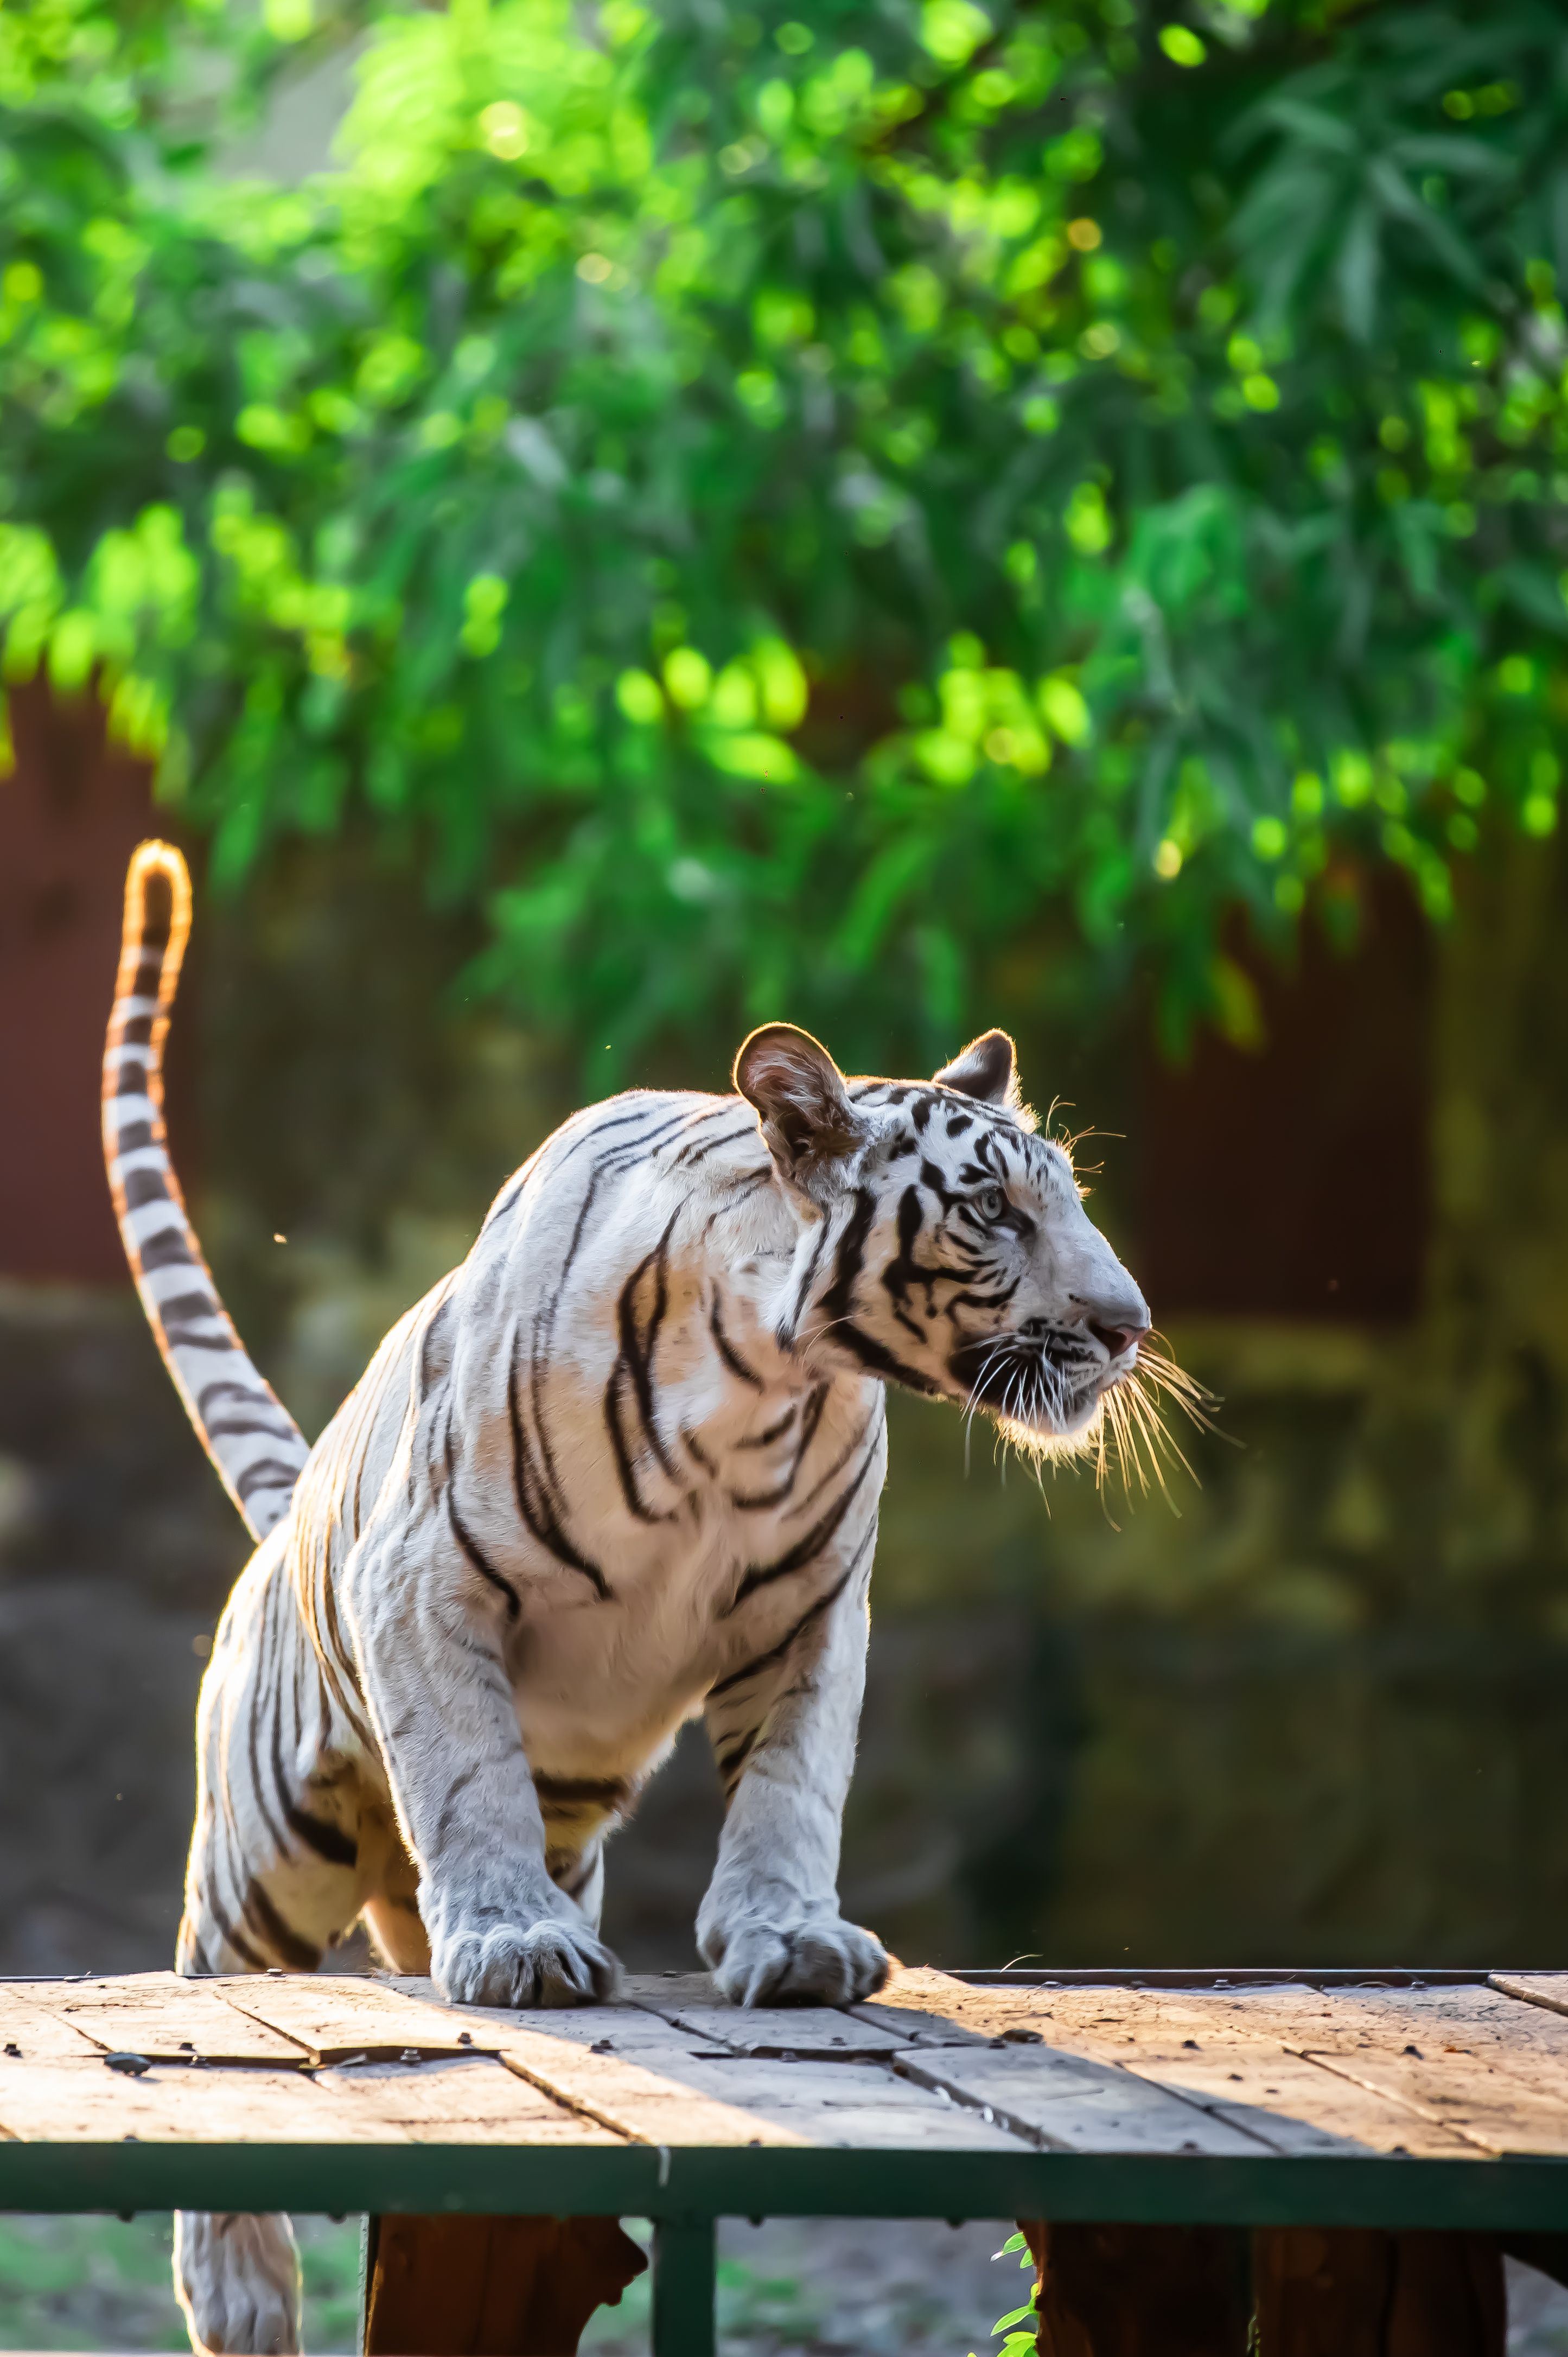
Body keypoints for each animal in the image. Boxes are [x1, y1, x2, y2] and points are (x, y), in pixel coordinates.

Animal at [103, 839, 1152, 2354]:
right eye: (991, 1210)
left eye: (1063, 1195)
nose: (1130, 1327)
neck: (766, 1384)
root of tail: (286, 1517)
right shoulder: (426, 1580)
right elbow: (465, 1776)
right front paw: (518, 1946)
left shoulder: (814, 1611)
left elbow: (790, 1784)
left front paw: (790, 1939)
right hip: (264, 1852)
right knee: (210, 1990)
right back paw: (241, 2292)